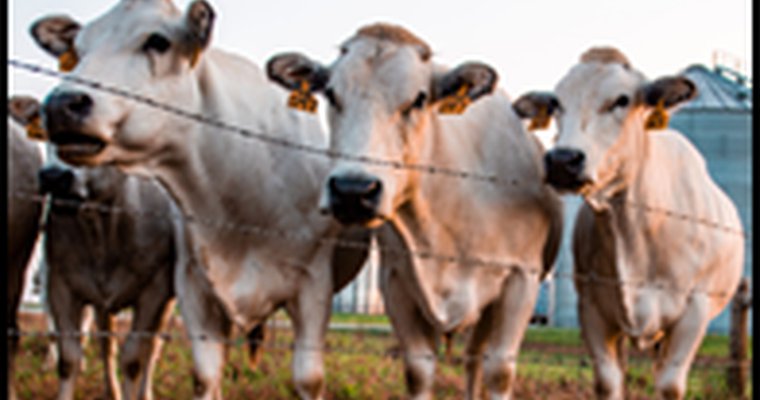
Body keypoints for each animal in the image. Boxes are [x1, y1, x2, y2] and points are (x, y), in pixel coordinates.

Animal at [32, 1, 371, 399]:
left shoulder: (314, 286)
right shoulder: (193, 287)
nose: (61, 104)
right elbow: (205, 376)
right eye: (79, 50)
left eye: (158, 41)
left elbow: (308, 378)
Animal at [267, 23, 564, 399]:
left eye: (420, 99)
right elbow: (419, 371)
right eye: (331, 94)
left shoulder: (521, 280)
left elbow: (499, 371)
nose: (352, 190)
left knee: (475, 358)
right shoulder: (397, 282)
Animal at [512, 47, 744, 399]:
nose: (563, 160)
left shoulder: (693, 313)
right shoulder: (593, 310)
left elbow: (669, 384)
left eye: (621, 100)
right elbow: (609, 382)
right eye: (556, 103)